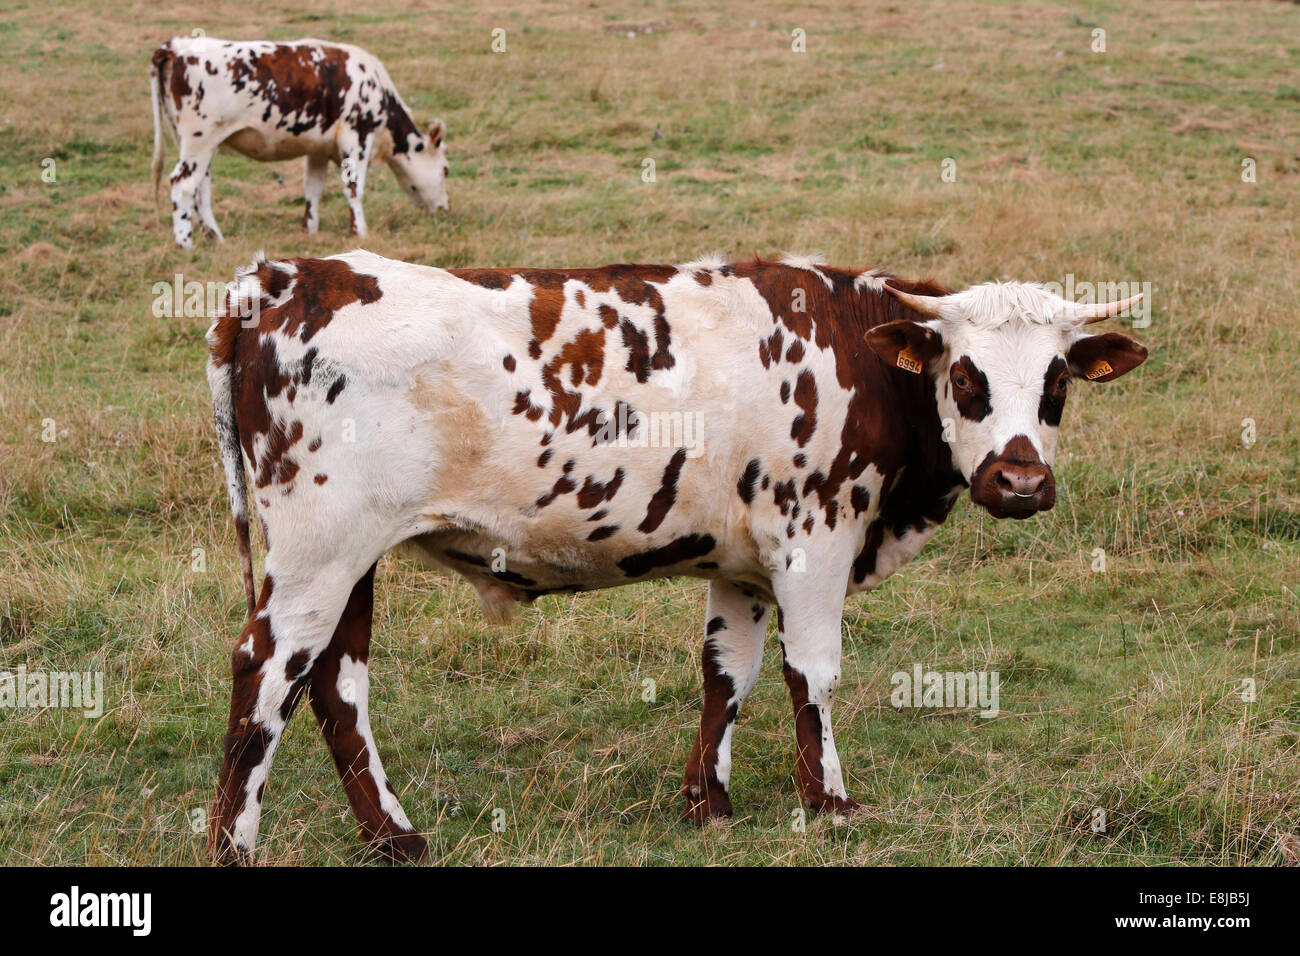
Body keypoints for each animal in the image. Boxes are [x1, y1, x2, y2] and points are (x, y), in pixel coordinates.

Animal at [149, 37, 449, 249]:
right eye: (446, 170)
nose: (444, 209)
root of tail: (175, 46)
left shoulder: (318, 147)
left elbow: (313, 188)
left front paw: (310, 229)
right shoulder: (357, 137)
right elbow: (354, 188)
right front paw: (360, 232)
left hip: (196, 144)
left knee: (201, 189)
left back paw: (215, 238)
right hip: (199, 141)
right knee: (183, 185)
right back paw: (185, 243)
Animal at [204, 249, 1147, 863]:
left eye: (1057, 383)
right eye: (965, 377)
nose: (1019, 480)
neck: (852, 347)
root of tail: (287, 275)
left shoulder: (742, 564)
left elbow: (728, 673)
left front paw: (710, 802)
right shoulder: (814, 540)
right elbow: (814, 672)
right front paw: (830, 802)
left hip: (351, 559)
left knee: (336, 684)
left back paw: (393, 837)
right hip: (320, 549)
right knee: (267, 671)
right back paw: (234, 846)